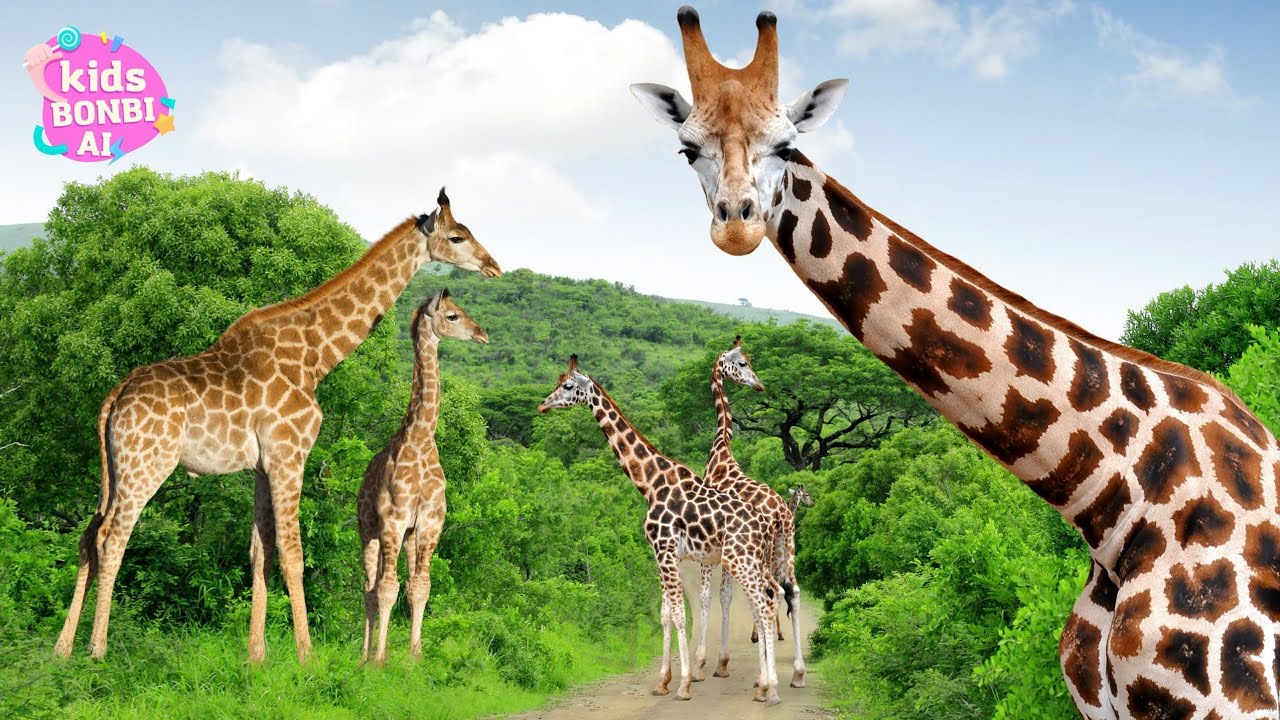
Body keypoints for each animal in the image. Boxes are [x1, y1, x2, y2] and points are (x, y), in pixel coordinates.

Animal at [358, 288, 488, 665]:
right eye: (452, 316)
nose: (482, 334)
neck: (421, 439)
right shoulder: (393, 518)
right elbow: (387, 588)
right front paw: (380, 659)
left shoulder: (430, 522)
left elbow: (420, 587)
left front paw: (414, 656)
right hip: (368, 529)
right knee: (369, 587)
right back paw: (364, 655)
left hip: (409, 536)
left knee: (394, 583)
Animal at [538, 355, 785, 704]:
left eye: (569, 386)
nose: (543, 405)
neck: (650, 483)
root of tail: (767, 523)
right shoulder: (662, 554)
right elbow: (665, 614)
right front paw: (663, 682)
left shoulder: (666, 550)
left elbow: (680, 614)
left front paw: (684, 685)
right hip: (753, 561)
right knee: (771, 599)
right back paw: (766, 684)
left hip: (741, 561)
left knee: (763, 605)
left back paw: (770, 688)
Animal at [694, 335, 806, 689]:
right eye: (742, 363)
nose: (759, 384)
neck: (720, 453)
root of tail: (783, 513)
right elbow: (728, 596)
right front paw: (721, 663)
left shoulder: (710, 549)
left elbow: (712, 596)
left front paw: (704, 665)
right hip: (786, 549)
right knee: (792, 591)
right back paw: (796, 673)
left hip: (763, 553)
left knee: (770, 593)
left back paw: (764, 676)